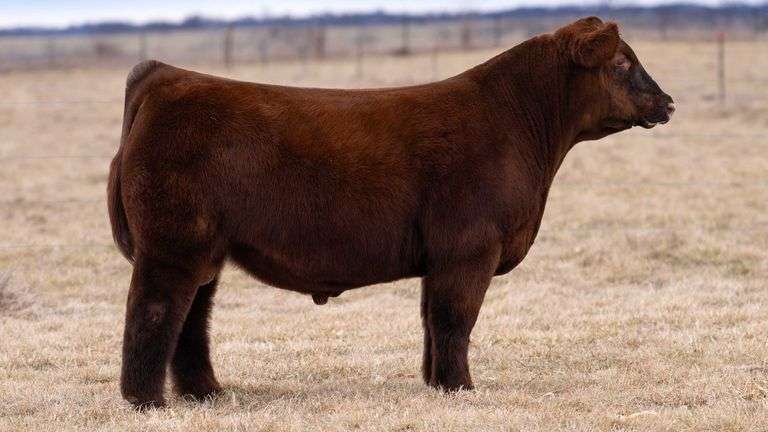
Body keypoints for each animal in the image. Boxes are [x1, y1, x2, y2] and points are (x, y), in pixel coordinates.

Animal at [108, 17, 674, 408]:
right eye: (623, 64)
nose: (668, 102)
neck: (520, 124)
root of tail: (165, 77)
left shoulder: (441, 259)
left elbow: (431, 321)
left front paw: (436, 384)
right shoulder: (471, 249)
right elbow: (455, 319)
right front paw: (461, 389)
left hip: (206, 251)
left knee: (191, 319)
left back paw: (206, 393)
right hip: (173, 247)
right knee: (154, 311)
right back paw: (146, 402)